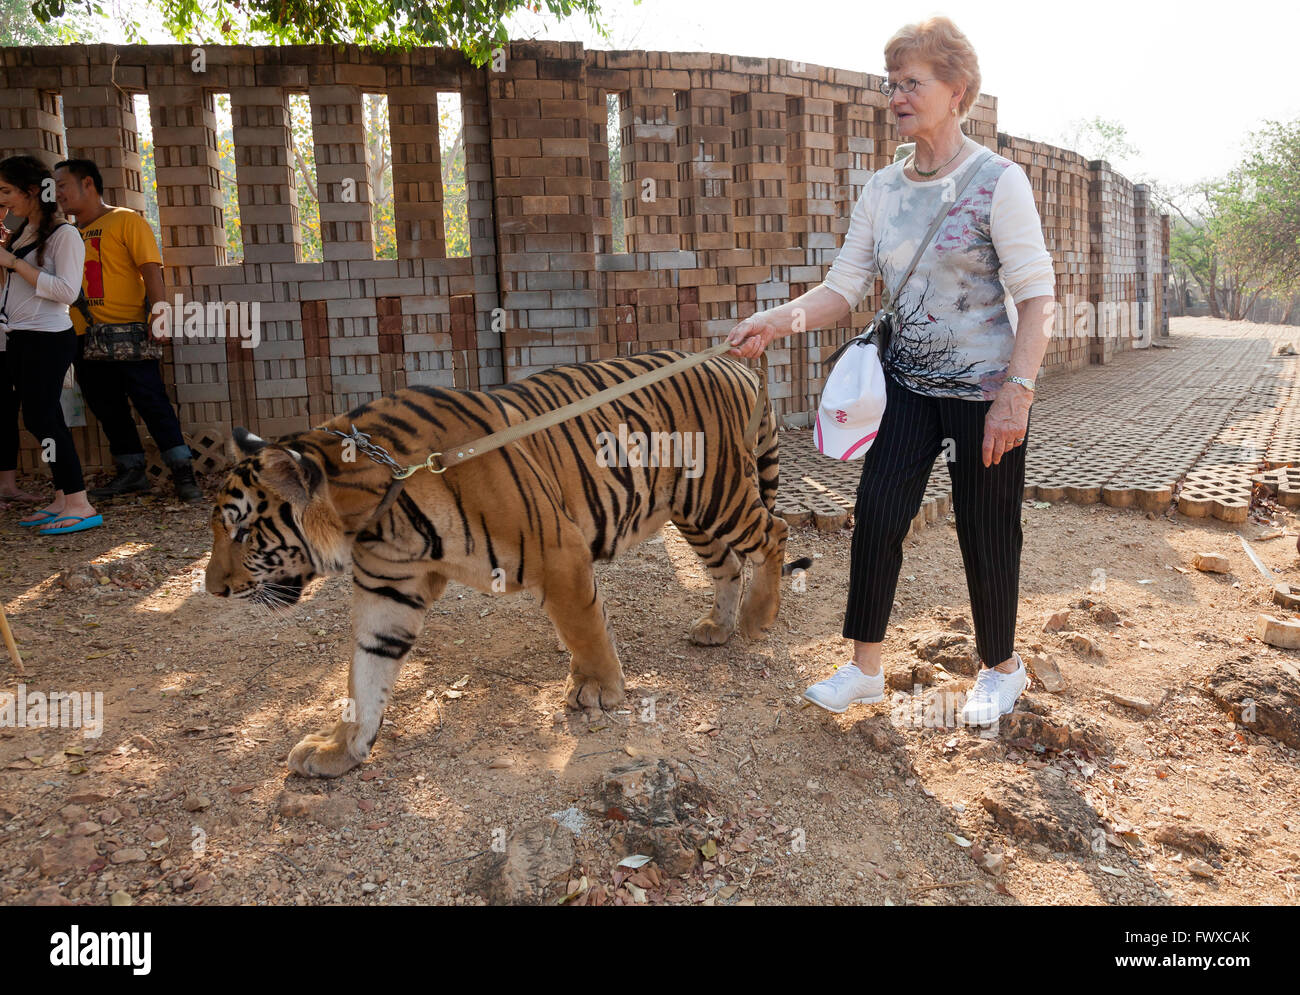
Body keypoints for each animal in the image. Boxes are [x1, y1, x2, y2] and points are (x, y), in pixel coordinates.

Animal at [205, 349, 810, 778]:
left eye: (241, 529)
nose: (213, 590)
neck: (374, 515)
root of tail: (736, 363)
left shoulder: (558, 552)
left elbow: (584, 627)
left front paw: (600, 691)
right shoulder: (388, 592)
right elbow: (366, 676)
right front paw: (339, 750)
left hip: (718, 493)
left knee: (774, 534)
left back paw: (757, 619)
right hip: (690, 511)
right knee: (727, 564)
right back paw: (719, 627)